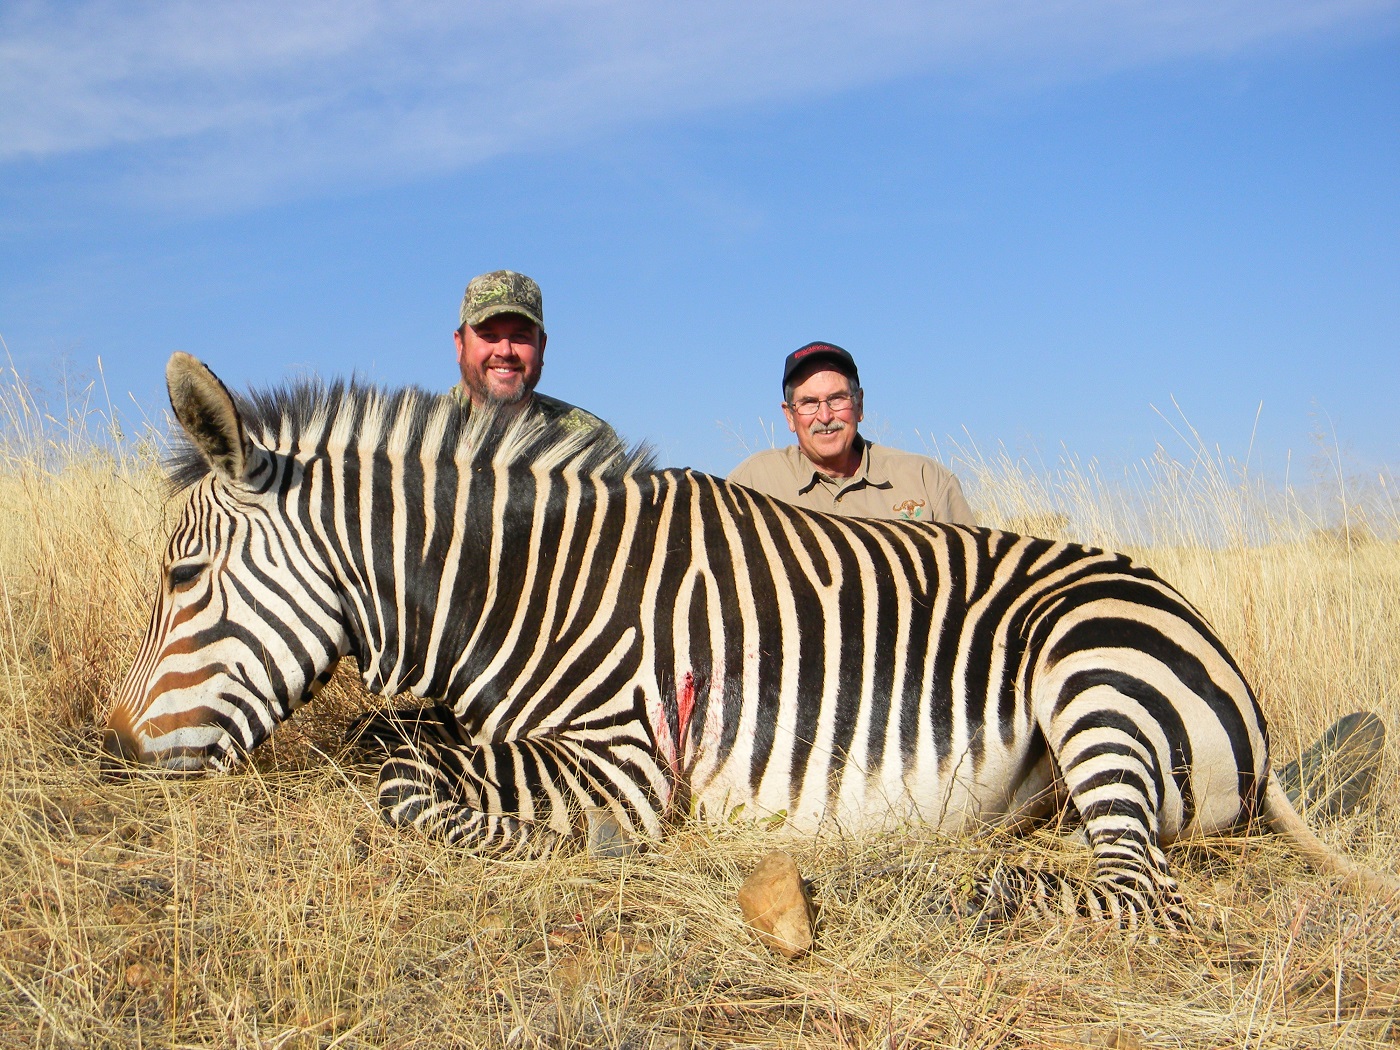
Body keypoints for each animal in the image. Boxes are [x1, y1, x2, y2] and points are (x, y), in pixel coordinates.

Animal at [105, 353, 1397, 928]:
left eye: (180, 575)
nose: (113, 751)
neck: (529, 587)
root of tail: (1213, 649)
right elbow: (395, 745)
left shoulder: (625, 753)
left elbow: (404, 783)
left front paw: (590, 847)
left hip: (1088, 672)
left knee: (1141, 894)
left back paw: (948, 892)